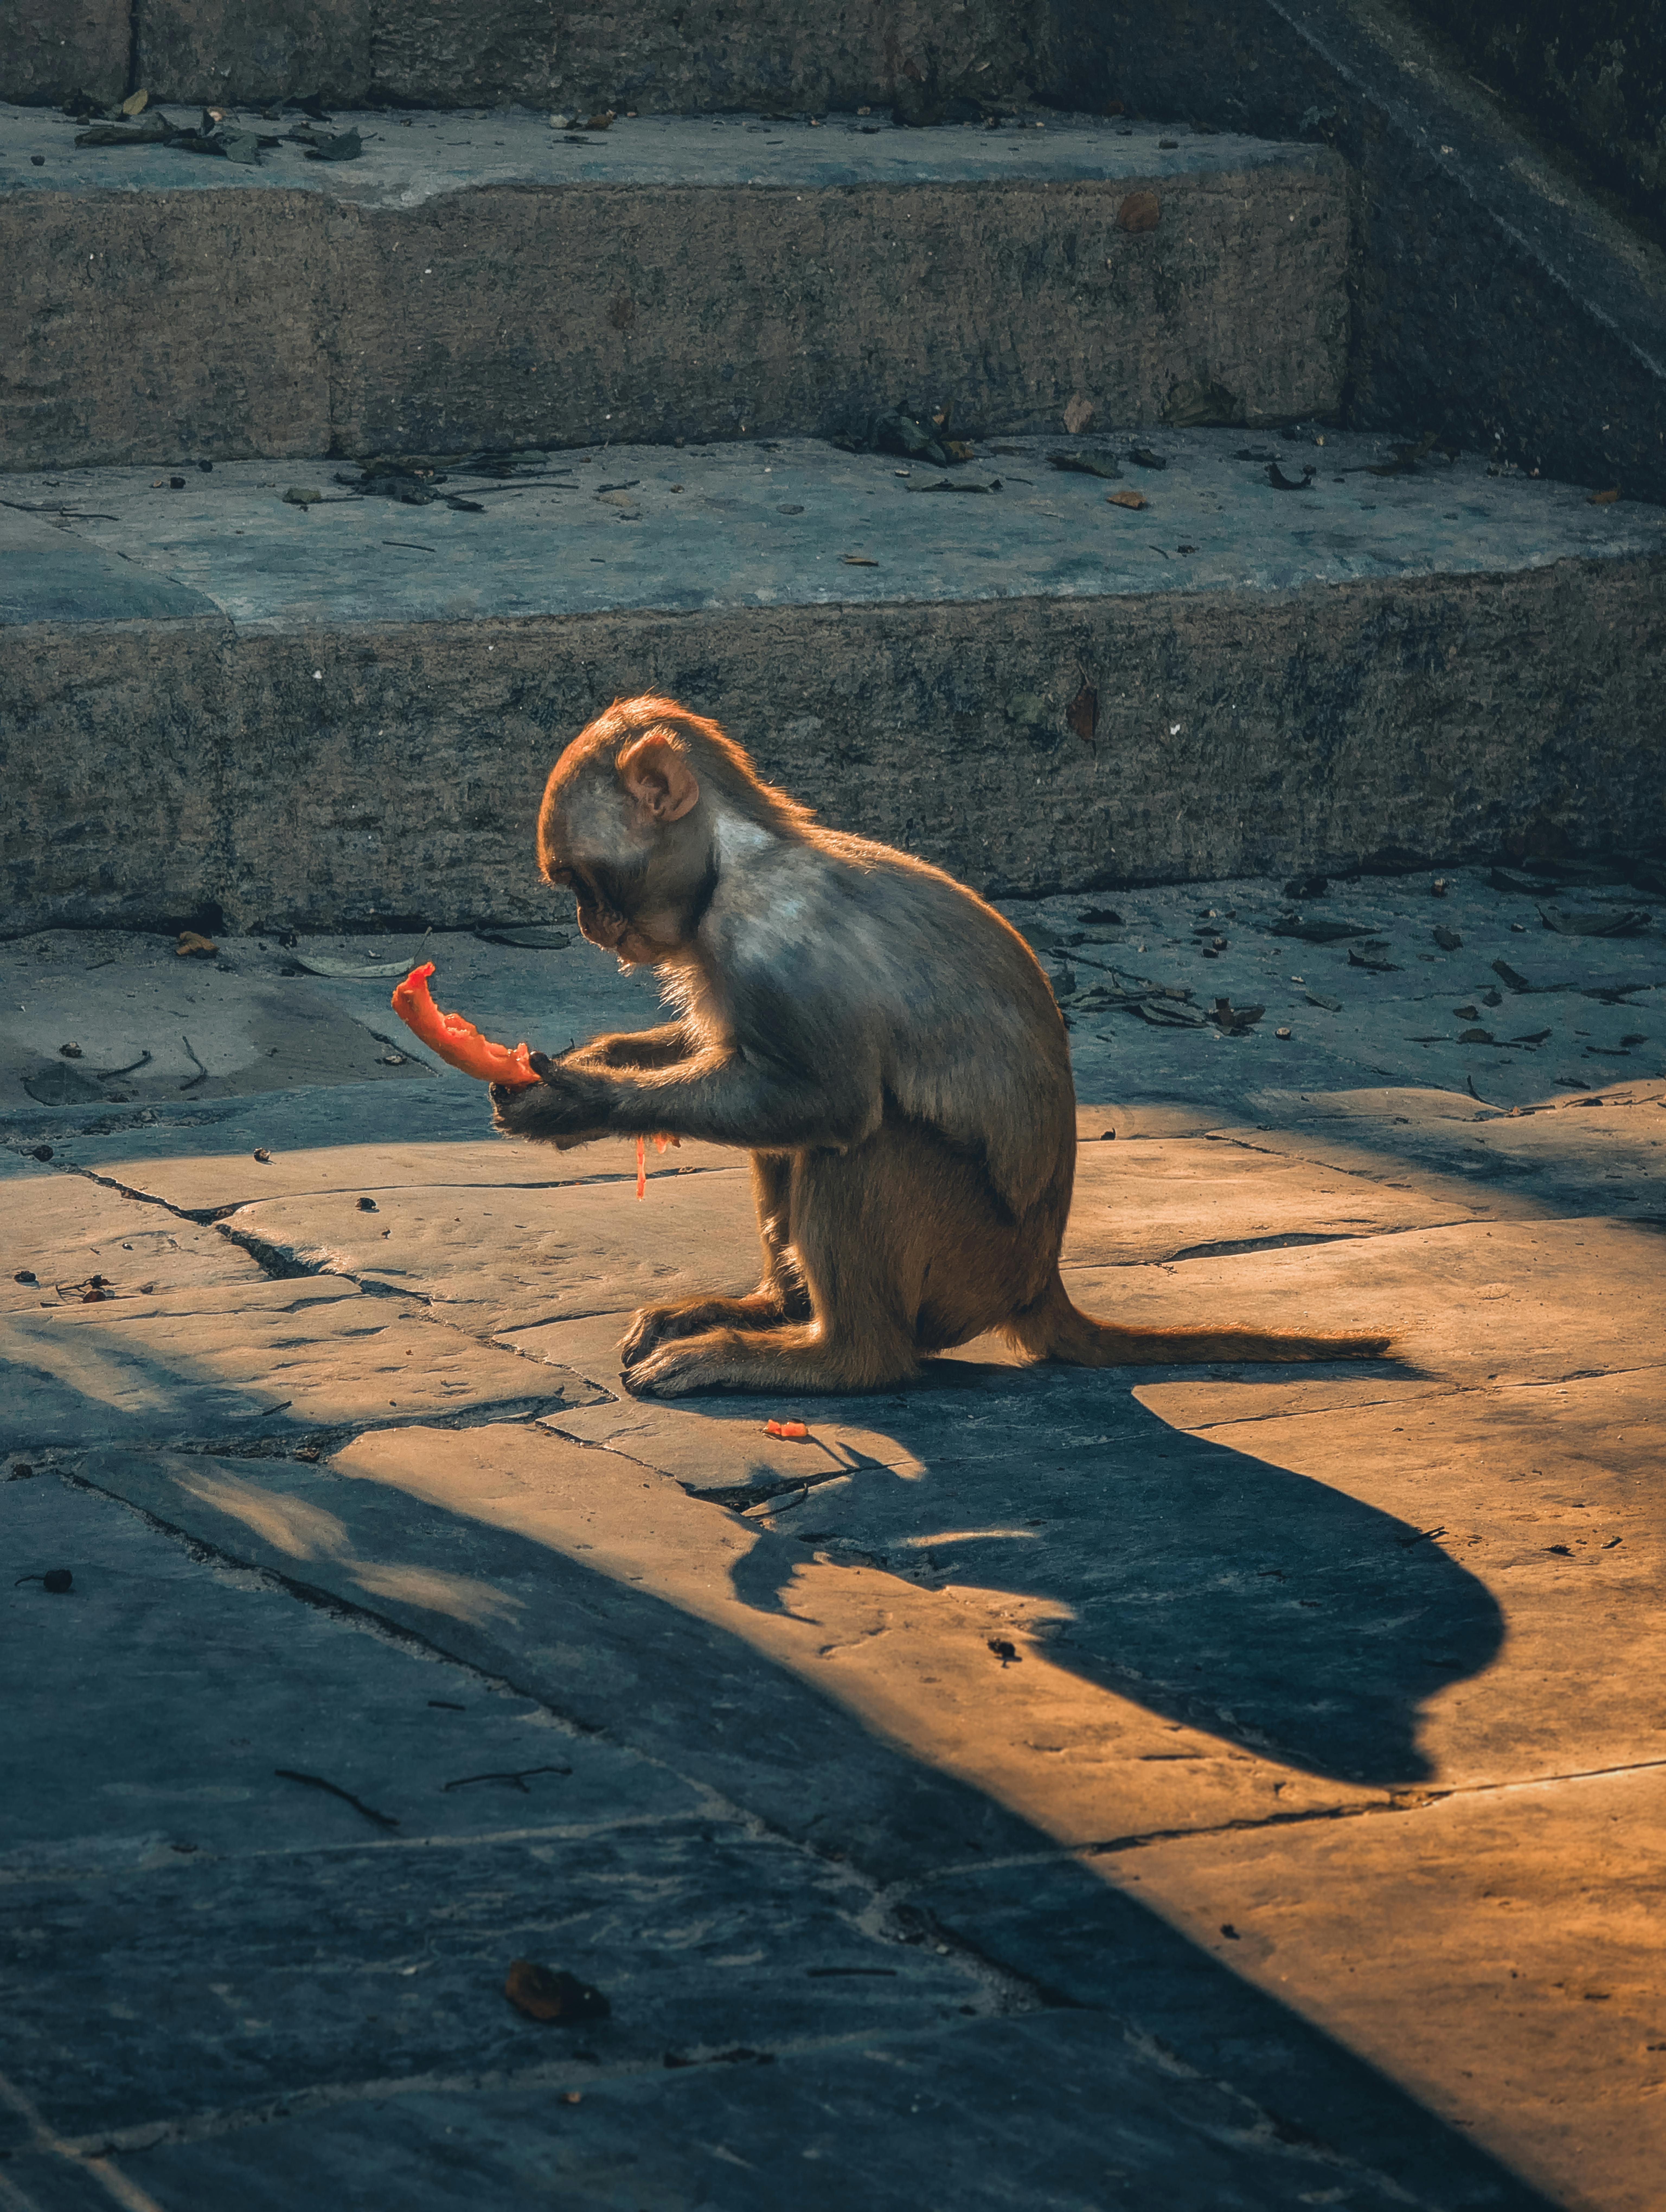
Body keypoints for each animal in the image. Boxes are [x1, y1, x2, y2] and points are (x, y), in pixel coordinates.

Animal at [491, 694, 1390, 1397]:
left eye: (584, 882)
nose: (589, 925)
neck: (735, 861)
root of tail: (1040, 1278)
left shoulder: (774, 937)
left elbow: (828, 1101)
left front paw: (580, 1100)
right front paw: (593, 1062)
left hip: (968, 1267)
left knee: (866, 1143)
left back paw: (840, 1358)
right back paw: (772, 1310)